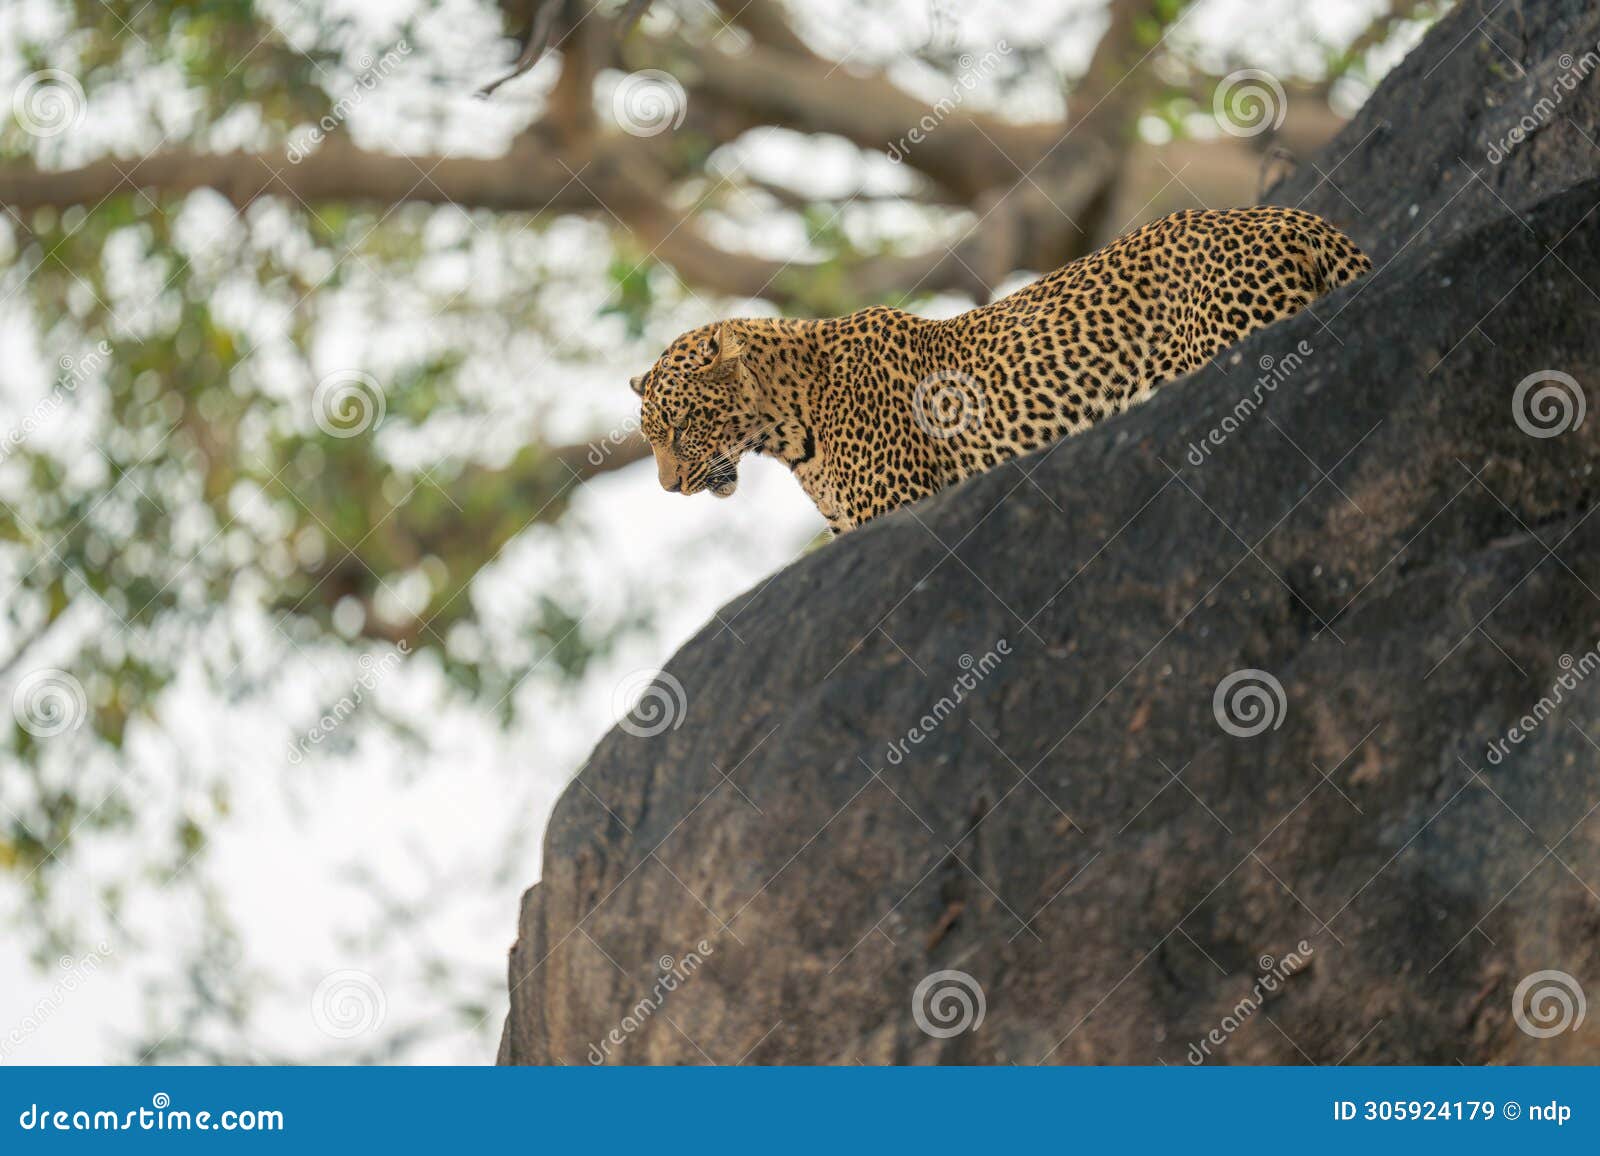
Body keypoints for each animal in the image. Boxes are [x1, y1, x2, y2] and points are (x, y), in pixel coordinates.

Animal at [631, 205, 1370, 535]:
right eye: (650, 439)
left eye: (682, 425)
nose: (667, 488)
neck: (788, 429)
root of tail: (1298, 219)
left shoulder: (900, 506)